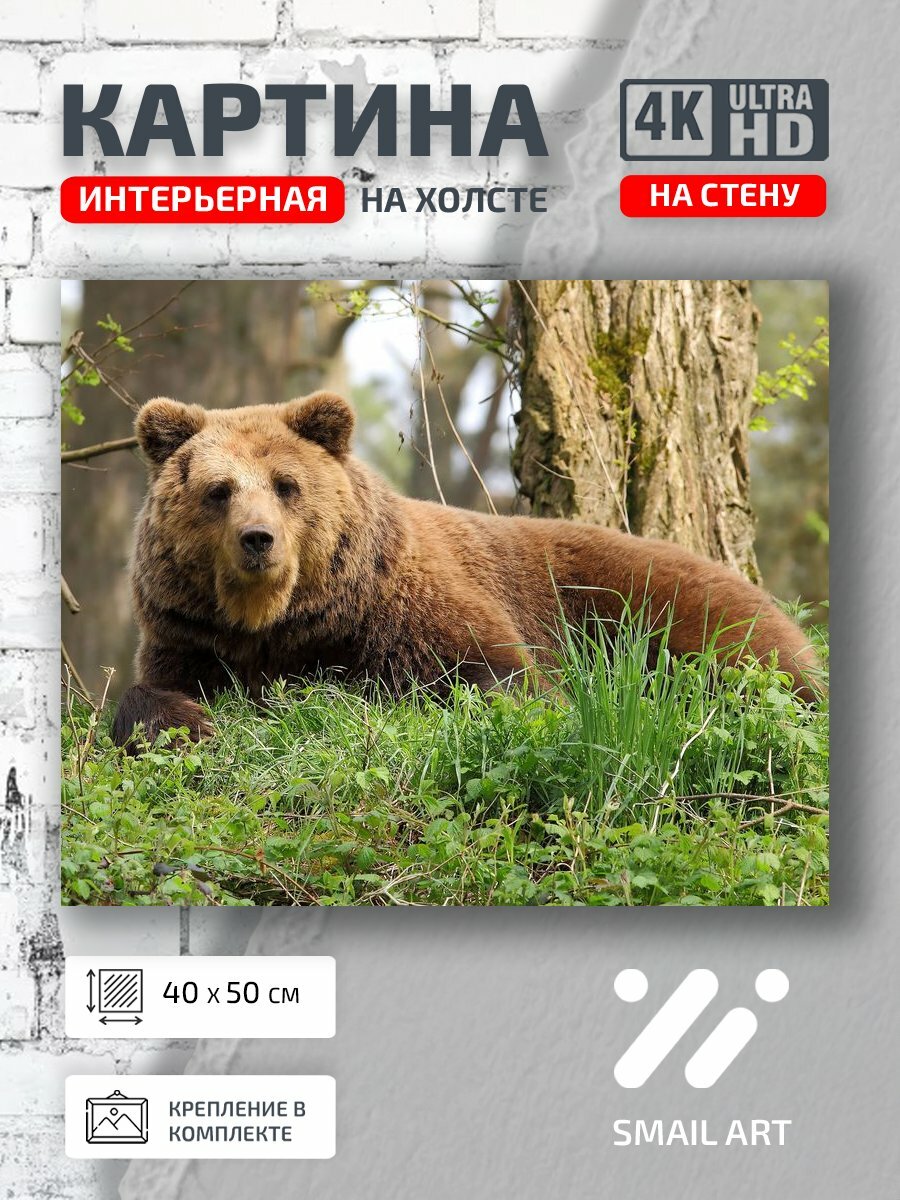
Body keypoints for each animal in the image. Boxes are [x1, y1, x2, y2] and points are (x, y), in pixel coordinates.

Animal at [111, 391, 819, 748]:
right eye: (218, 490)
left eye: (287, 485)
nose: (258, 540)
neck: (282, 622)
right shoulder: (190, 633)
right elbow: (151, 691)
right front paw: (189, 721)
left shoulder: (403, 610)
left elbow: (497, 680)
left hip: (663, 611)